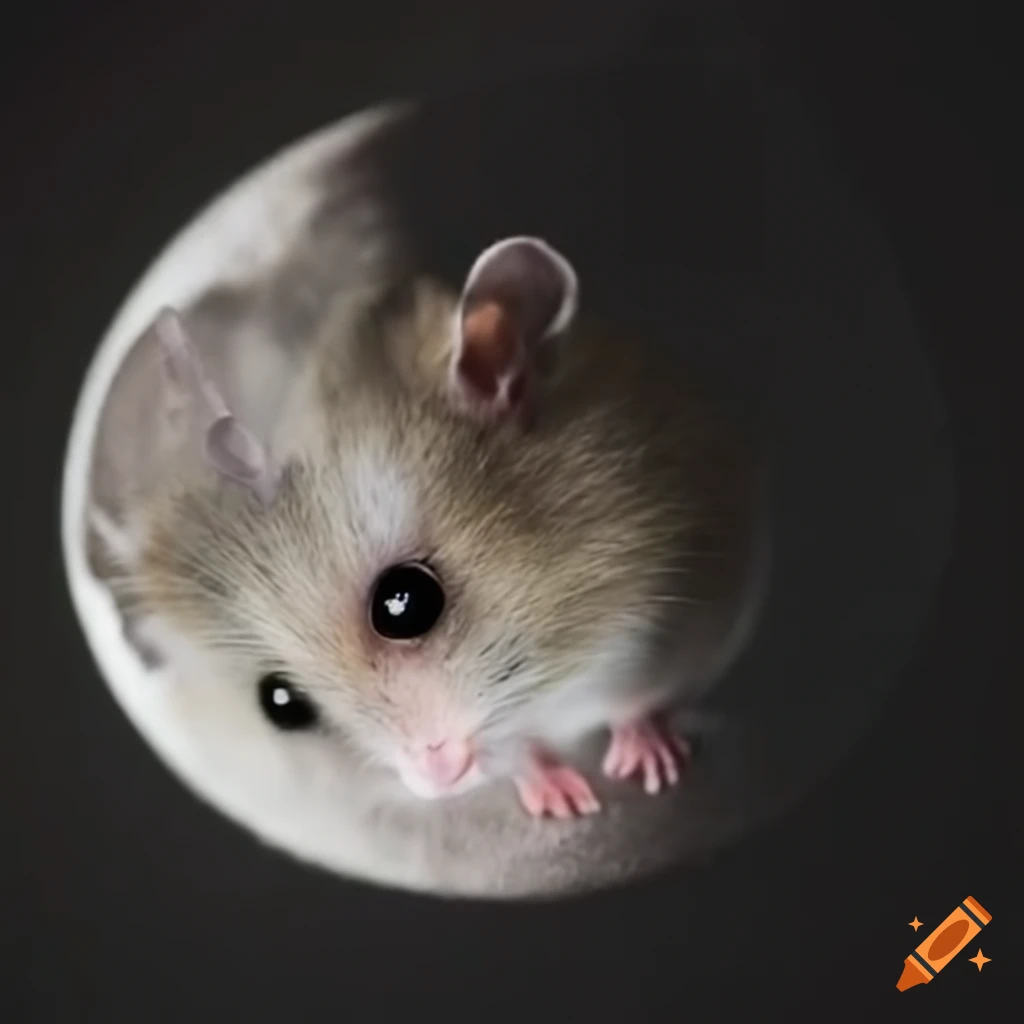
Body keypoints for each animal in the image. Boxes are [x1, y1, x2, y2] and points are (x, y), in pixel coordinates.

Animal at [87, 236, 754, 820]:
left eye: (404, 602)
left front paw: (650, 767)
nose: (438, 779)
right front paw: (560, 801)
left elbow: (638, 700)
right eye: (282, 700)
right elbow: (528, 747)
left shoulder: (681, 613)